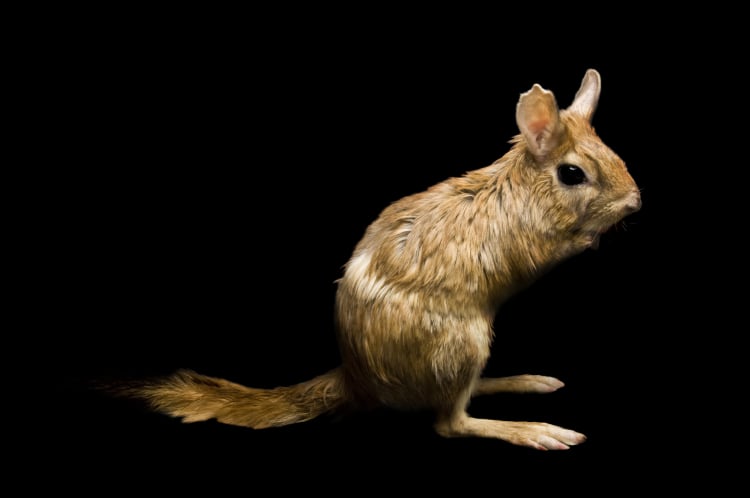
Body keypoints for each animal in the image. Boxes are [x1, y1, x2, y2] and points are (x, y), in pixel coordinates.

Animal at [110, 69, 641, 450]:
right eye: (572, 173)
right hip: (462, 344)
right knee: (450, 422)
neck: (520, 188)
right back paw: (537, 430)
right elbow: (565, 243)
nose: (636, 203)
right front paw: (592, 235)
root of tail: (356, 380)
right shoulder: (533, 242)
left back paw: (526, 380)